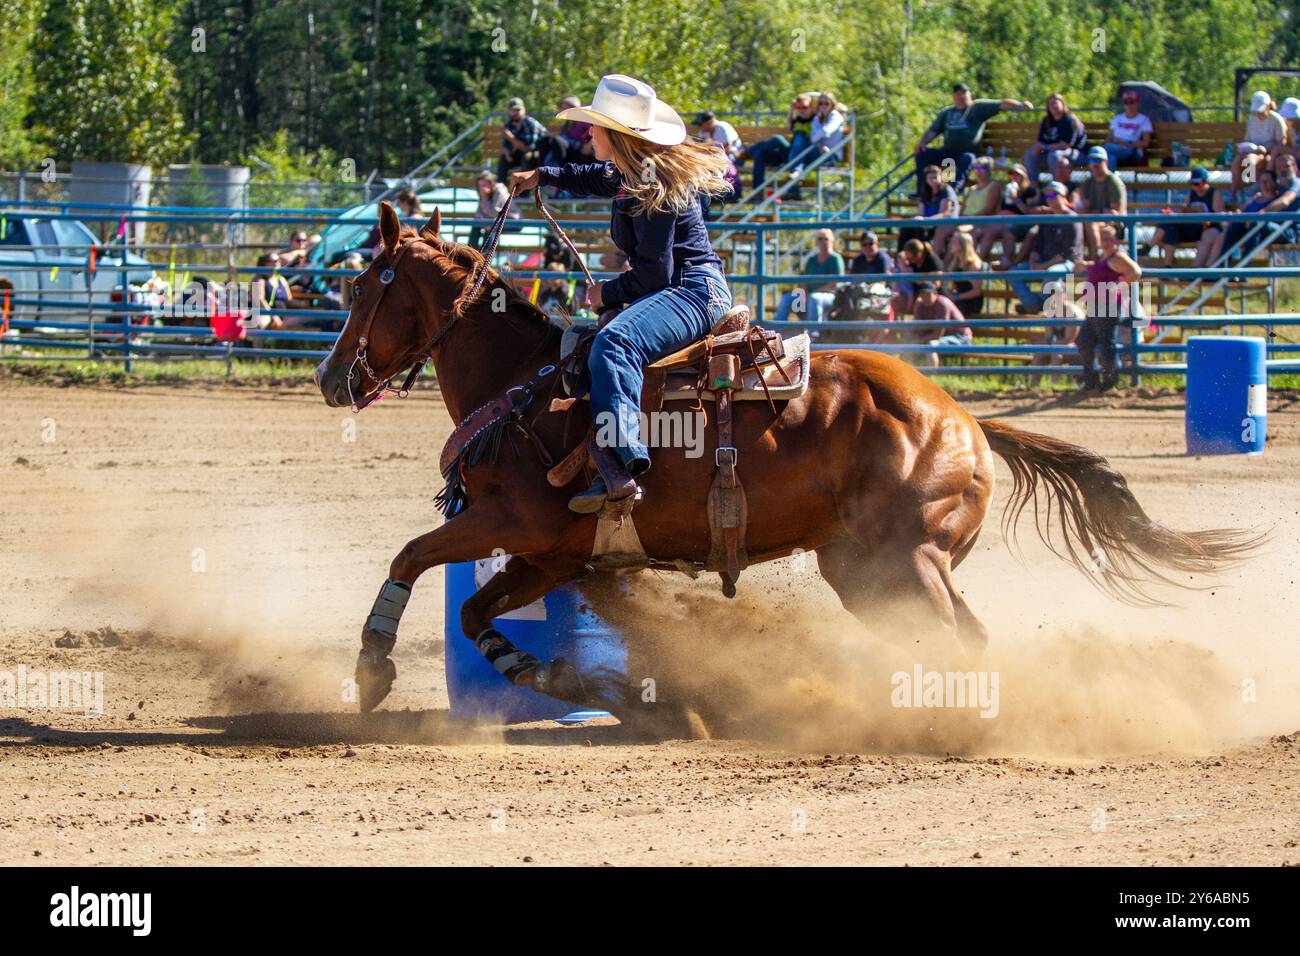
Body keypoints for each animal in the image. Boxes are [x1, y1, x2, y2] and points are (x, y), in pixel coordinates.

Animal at [315, 200, 1261, 717]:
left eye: (362, 285)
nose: (329, 377)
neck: (524, 382)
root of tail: (965, 419)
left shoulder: (510, 518)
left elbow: (409, 555)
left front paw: (371, 668)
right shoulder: (549, 553)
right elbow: (479, 617)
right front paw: (565, 679)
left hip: (904, 561)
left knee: (962, 639)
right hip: (867, 568)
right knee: (963, 636)